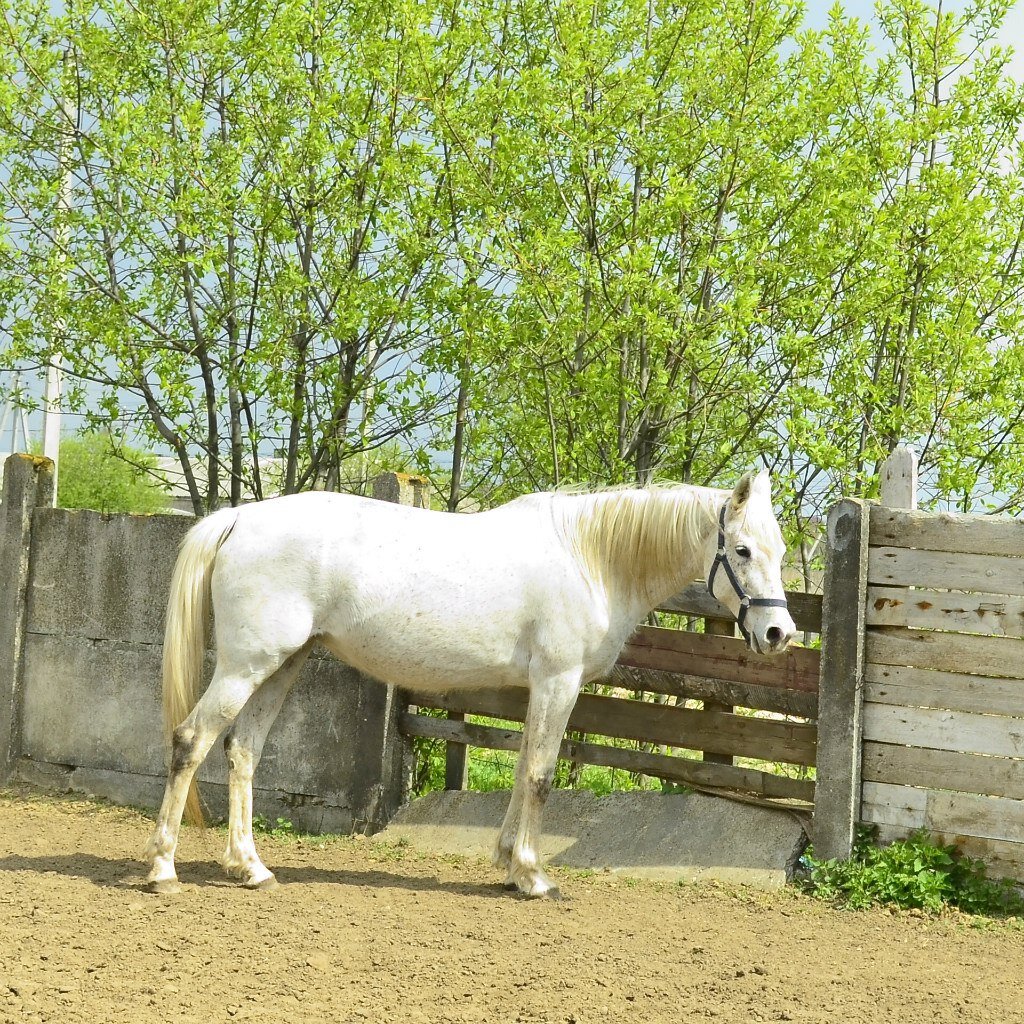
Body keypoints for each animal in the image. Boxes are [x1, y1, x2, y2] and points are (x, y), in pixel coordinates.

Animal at [146, 471, 790, 897]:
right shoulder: (558, 681)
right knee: (190, 742)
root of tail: (238, 519)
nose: (779, 633)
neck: (589, 558)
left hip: (282, 664)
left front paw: (507, 861)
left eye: (781, 550)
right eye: (741, 549)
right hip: (245, 666)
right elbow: (540, 776)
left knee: (242, 751)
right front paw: (532, 875)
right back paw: (163, 870)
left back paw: (249, 867)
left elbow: (523, 767)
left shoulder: (540, 688)